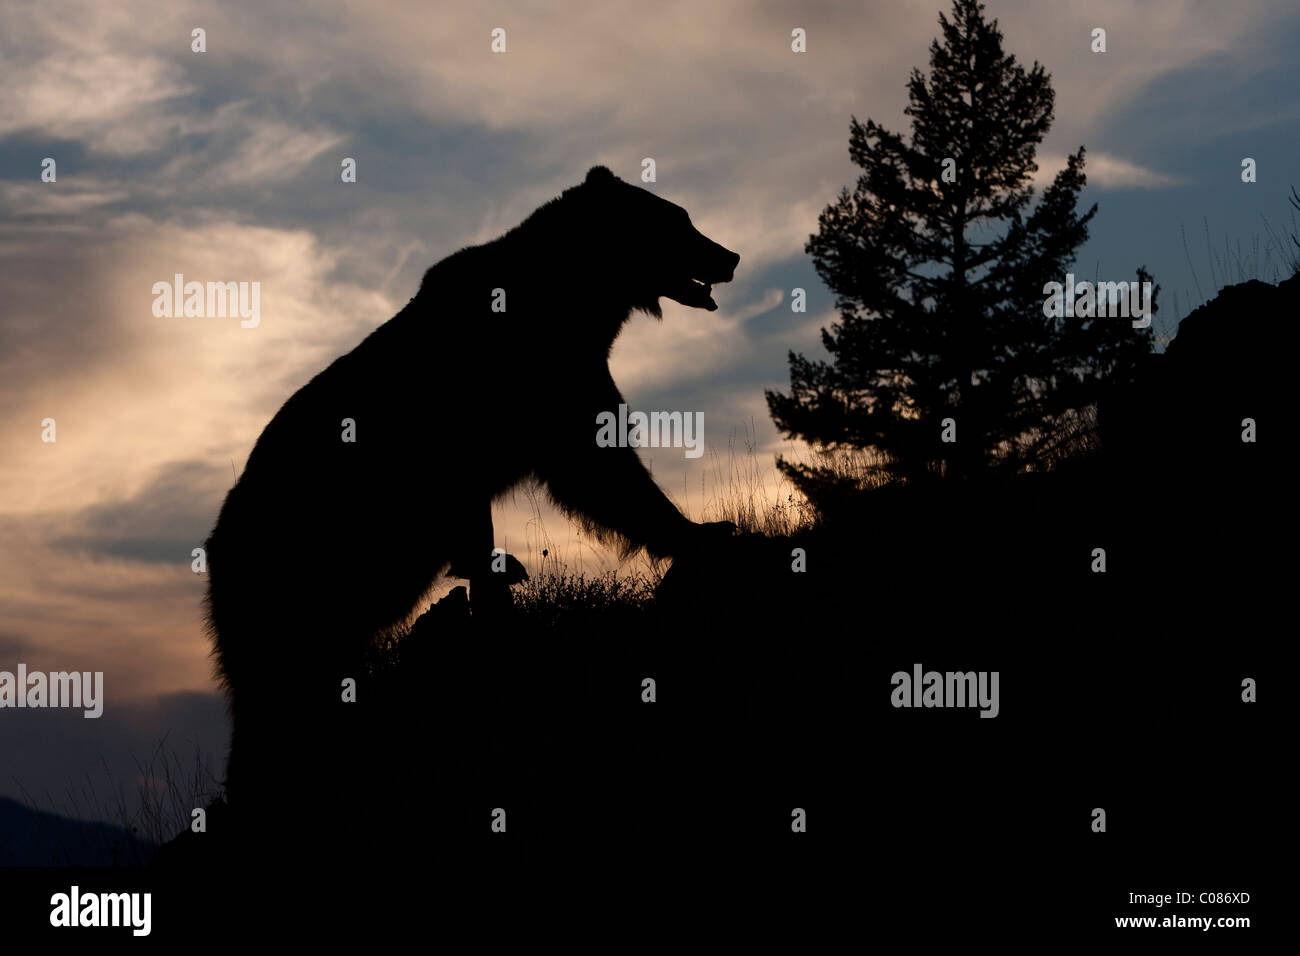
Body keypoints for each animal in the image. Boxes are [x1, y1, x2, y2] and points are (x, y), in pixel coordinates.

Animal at [202, 165, 739, 852]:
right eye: (680, 219)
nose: (729, 256)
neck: (576, 298)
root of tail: (214, 545)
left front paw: (498, 578)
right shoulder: (524, 383)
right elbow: (599, 468)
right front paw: (700, 529)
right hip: (291, 573)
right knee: (274, 691)